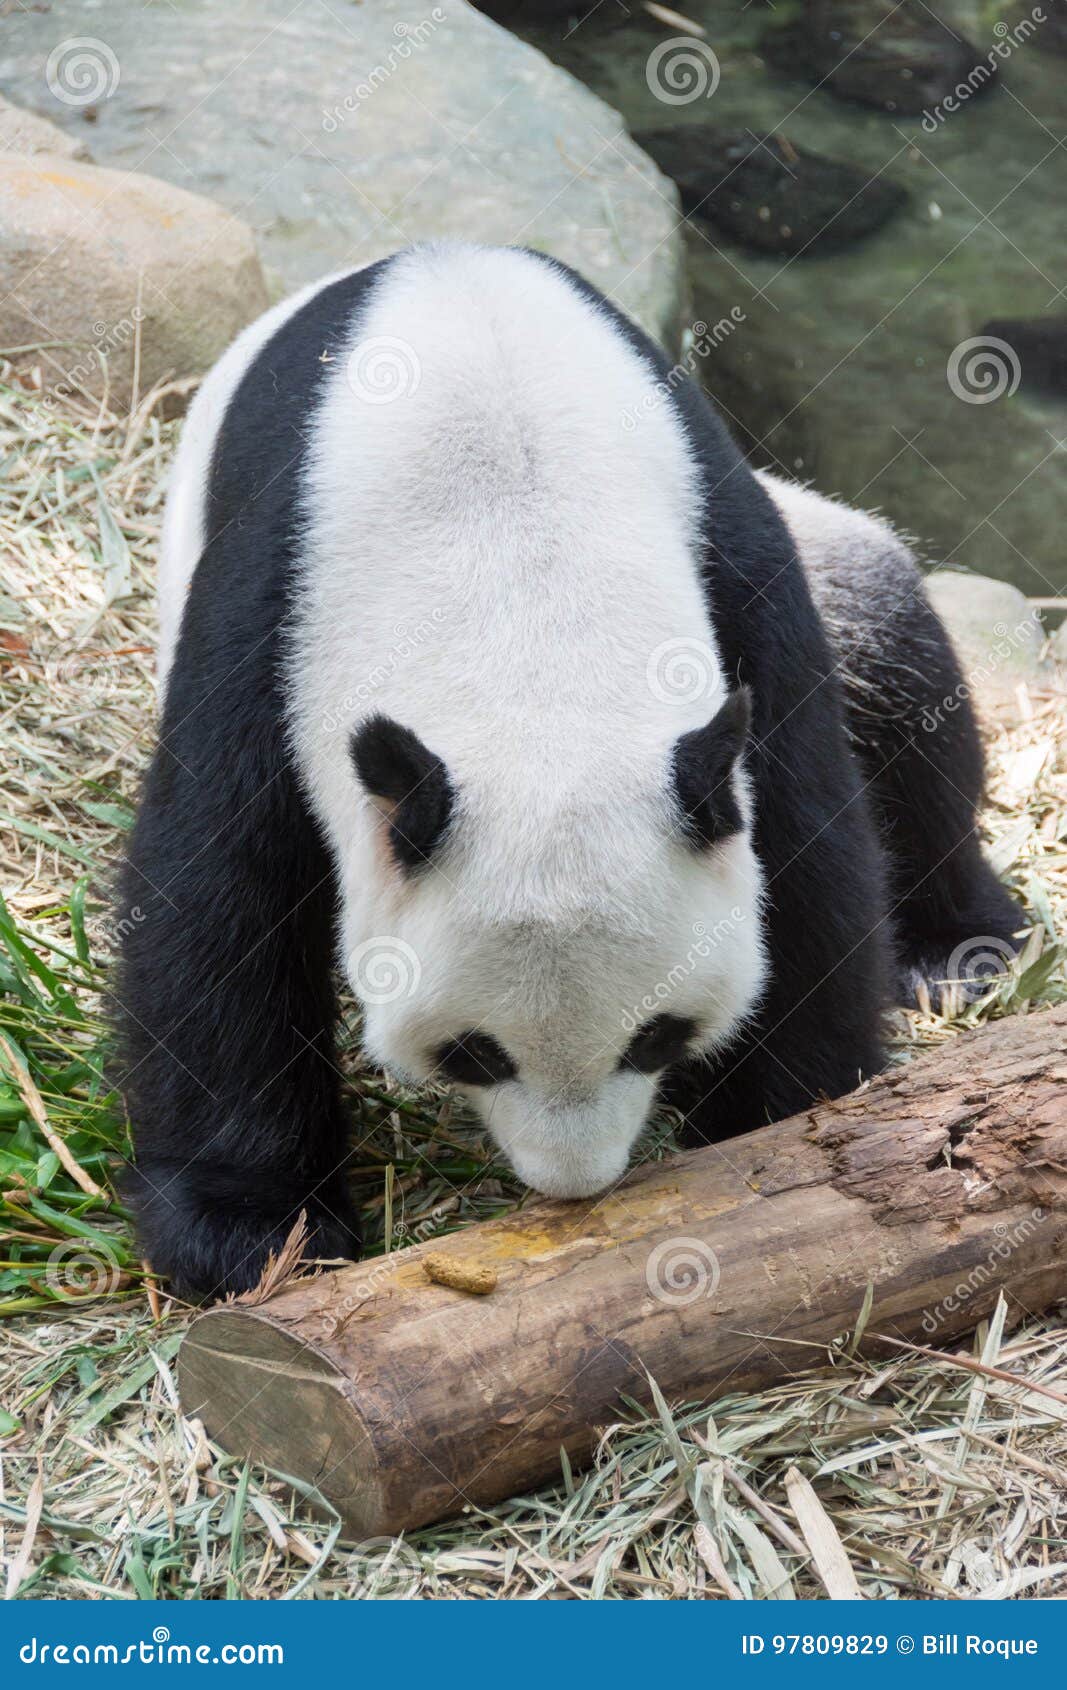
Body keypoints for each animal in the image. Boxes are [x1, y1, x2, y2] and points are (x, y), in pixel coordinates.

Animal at [115, 242, 1021, 1299]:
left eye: (657, 1035)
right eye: (473, 1054)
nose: (575, 1182)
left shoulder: (731, 563)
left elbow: (807, 844)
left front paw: (780, 1115)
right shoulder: (269, 610)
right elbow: (219, 894)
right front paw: (249, 1234)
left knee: (889, 646)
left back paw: (954, 948)